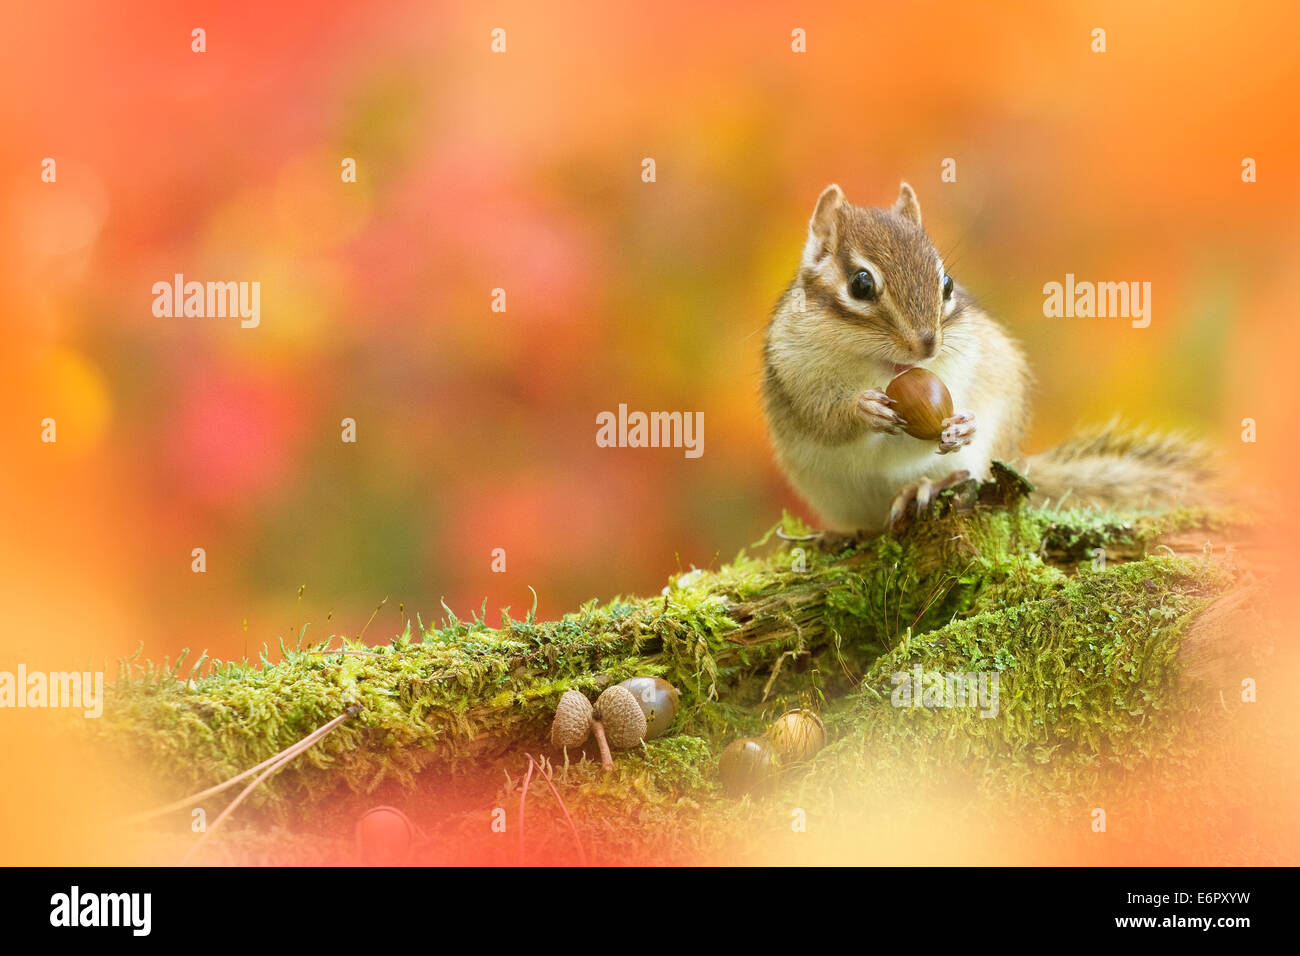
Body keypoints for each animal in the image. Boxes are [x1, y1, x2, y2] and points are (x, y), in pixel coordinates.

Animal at [762, 182, 1216, 533]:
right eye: (860, 284)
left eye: (946, 284)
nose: (928, 346)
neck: (883, 368)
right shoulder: (794, 376)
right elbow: (823, 417)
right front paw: (864, 408)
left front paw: (963, 425)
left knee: (965, 476)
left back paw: (924, 487)